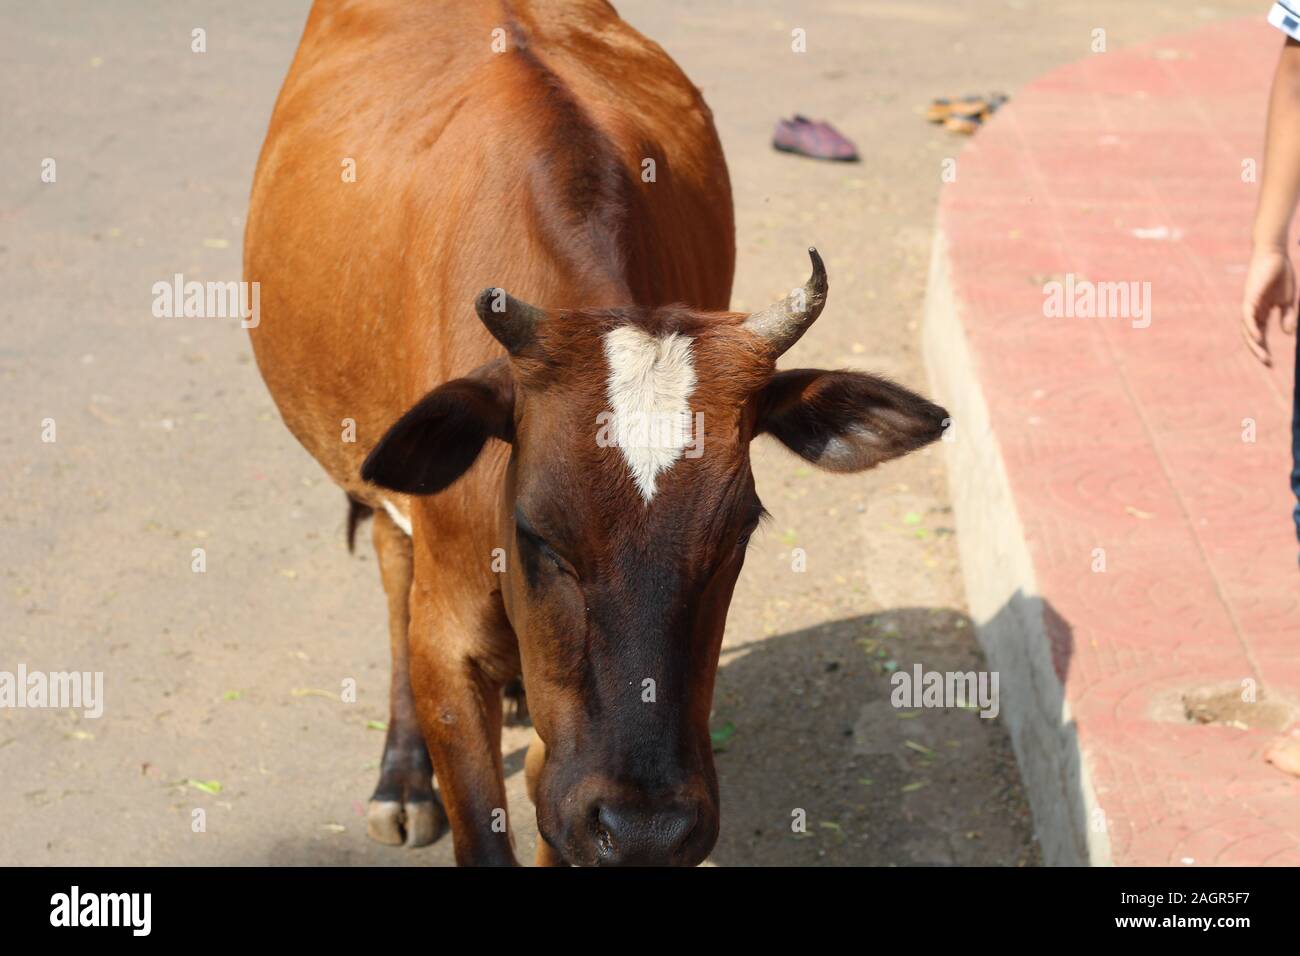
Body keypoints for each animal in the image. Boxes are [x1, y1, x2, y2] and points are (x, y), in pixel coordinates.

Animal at [244, 0, 948, 867]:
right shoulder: (447, 642)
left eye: (739, 533)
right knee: (391, 558)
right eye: (538, 533)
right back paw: (402, 779)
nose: (648, 831)